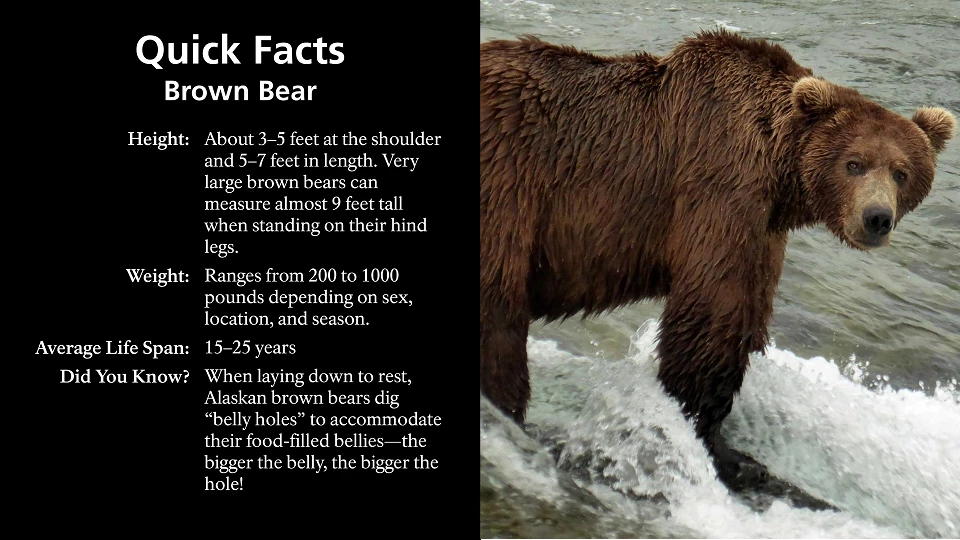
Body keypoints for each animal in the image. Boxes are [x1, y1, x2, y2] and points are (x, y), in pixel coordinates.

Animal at [479, 30, 955, 488]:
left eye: (901, 172)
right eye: (854, 163)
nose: (877, 218)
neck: (781, 173)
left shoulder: (765, 230)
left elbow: (750, 308)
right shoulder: (721, 184)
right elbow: (714, 308)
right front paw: (724, 449)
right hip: (508, 180)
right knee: (499, 306)